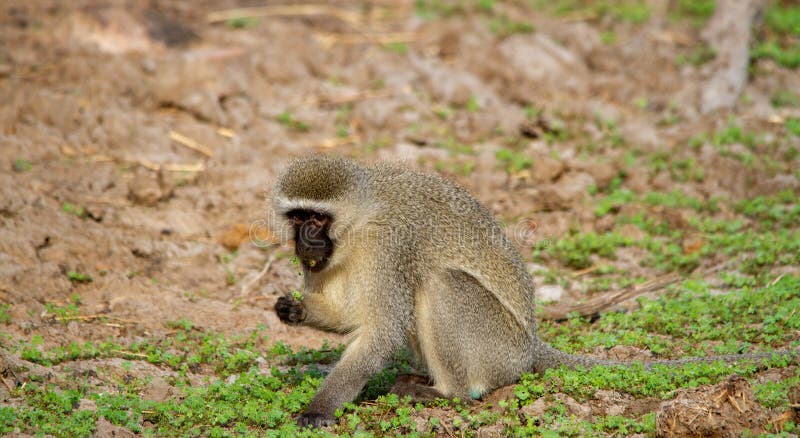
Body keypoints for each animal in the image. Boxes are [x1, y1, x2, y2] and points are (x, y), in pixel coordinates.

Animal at [268, 154, 798, 428]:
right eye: (297, 218)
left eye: (319, 219)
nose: (304, 240)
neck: (359, 224)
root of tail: (529, 346)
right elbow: (348, 315)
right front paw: (294, 310)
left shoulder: (391, 245)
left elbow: (380, 331)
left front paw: (319, 408)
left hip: (497, 348)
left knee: (441, 283)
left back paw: (447, 394)